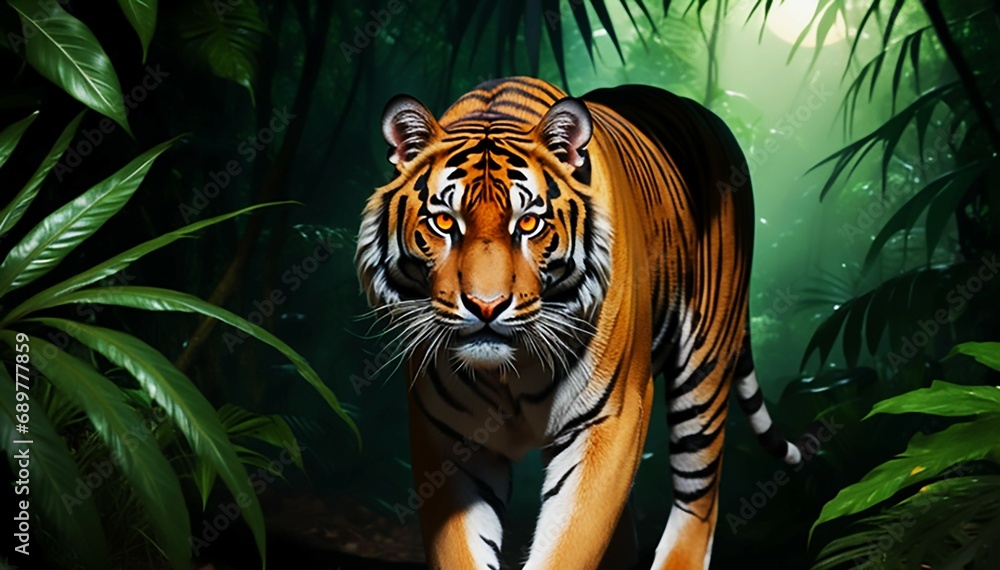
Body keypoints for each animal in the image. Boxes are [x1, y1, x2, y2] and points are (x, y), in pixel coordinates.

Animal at [355, 76, 803, 569]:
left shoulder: (612, 417)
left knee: (698, 501)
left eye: (528, 224)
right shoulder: (449, 435)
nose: (487, 306)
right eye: (443, 222)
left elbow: (571, 540)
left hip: (704, 368)